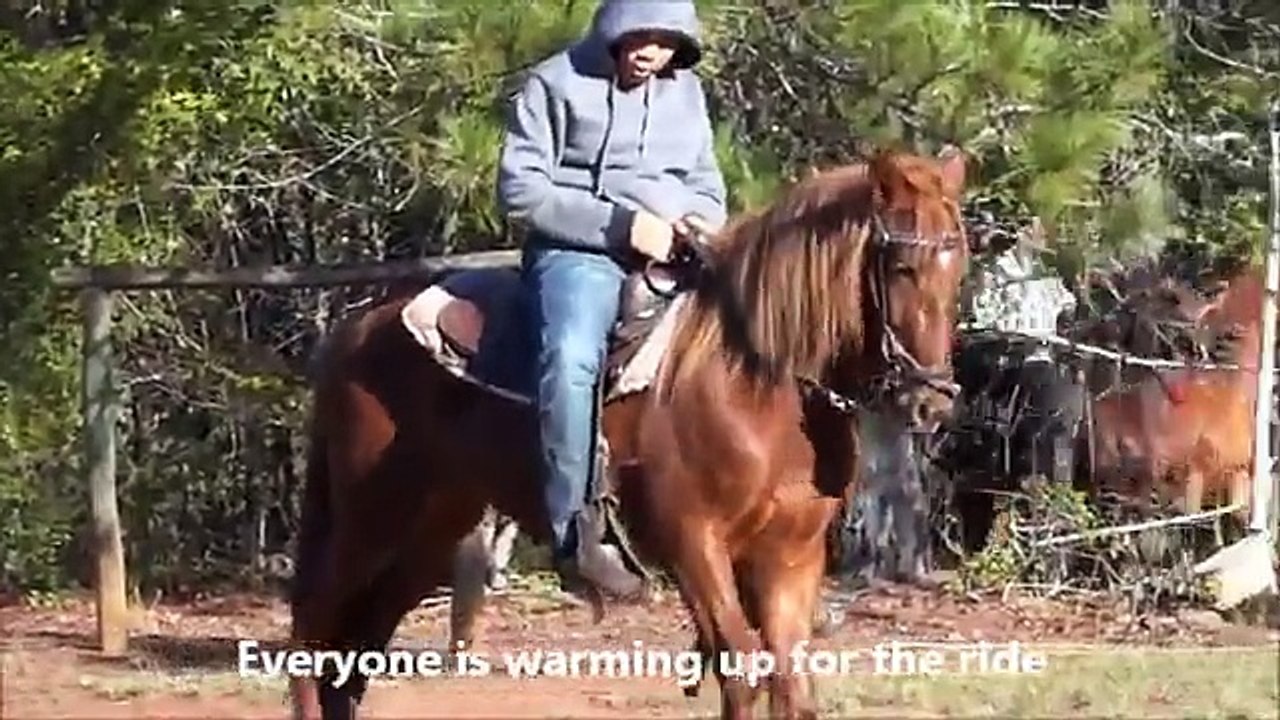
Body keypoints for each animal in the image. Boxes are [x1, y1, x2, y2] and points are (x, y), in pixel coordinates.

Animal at [287, 147, 974, 720]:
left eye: (958, 265)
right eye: (902, 266)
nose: (933, 401)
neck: (757, 384)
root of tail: (355, 331)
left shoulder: (792, 556)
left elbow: (789, 684)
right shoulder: (693, 543)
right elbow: (741, 670)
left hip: (430, 531)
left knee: (355, 652)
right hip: (370, 517)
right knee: (313, 627)